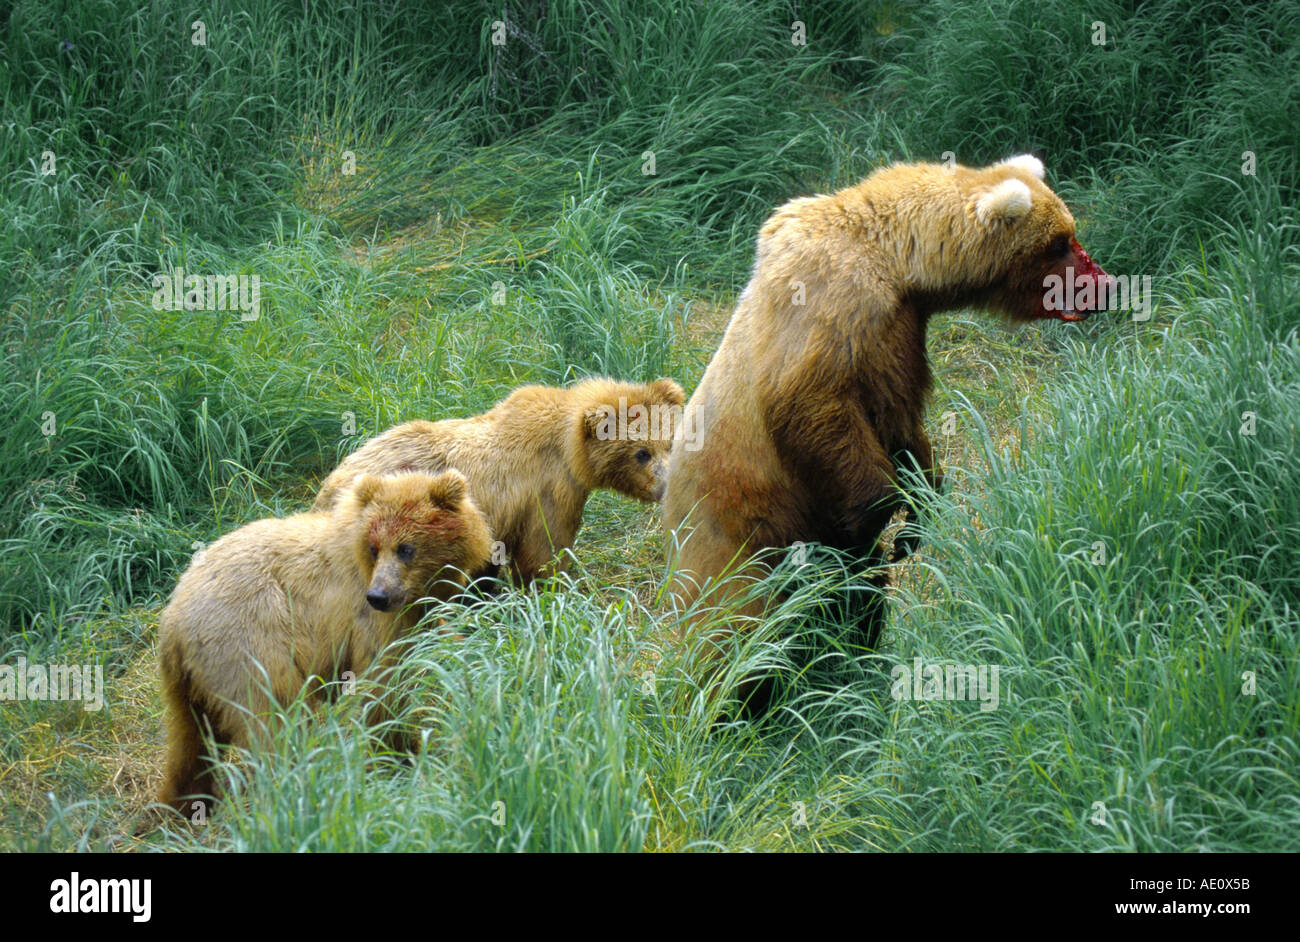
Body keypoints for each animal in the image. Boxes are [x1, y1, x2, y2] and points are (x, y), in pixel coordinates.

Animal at [158, 470, 492, 815]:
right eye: (375, 547)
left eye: (405, 548)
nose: (379, 596)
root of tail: (174, 618)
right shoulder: (369, 619)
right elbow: (382, 685)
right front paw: (397, 753)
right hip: (249, 645)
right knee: (276, 719)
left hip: (189, 679)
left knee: (190, 737)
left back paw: (184, 801)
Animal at [313, 377, 686, 585]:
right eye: (641, 452)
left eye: (671, 442)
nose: (666, 487)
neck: (569, 451)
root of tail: (327, 488)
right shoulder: (548, 492)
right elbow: (543, 553)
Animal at [662, 155, 1113, 708]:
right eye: (1060, 241)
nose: (1105, 283)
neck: (897, 263)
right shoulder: (829, 310)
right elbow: (815, 409)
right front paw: (878, 519)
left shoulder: (897, 337)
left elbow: (902, 428)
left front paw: (918, 514)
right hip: (736, 532)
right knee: (740, 632)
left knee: (855, 601)